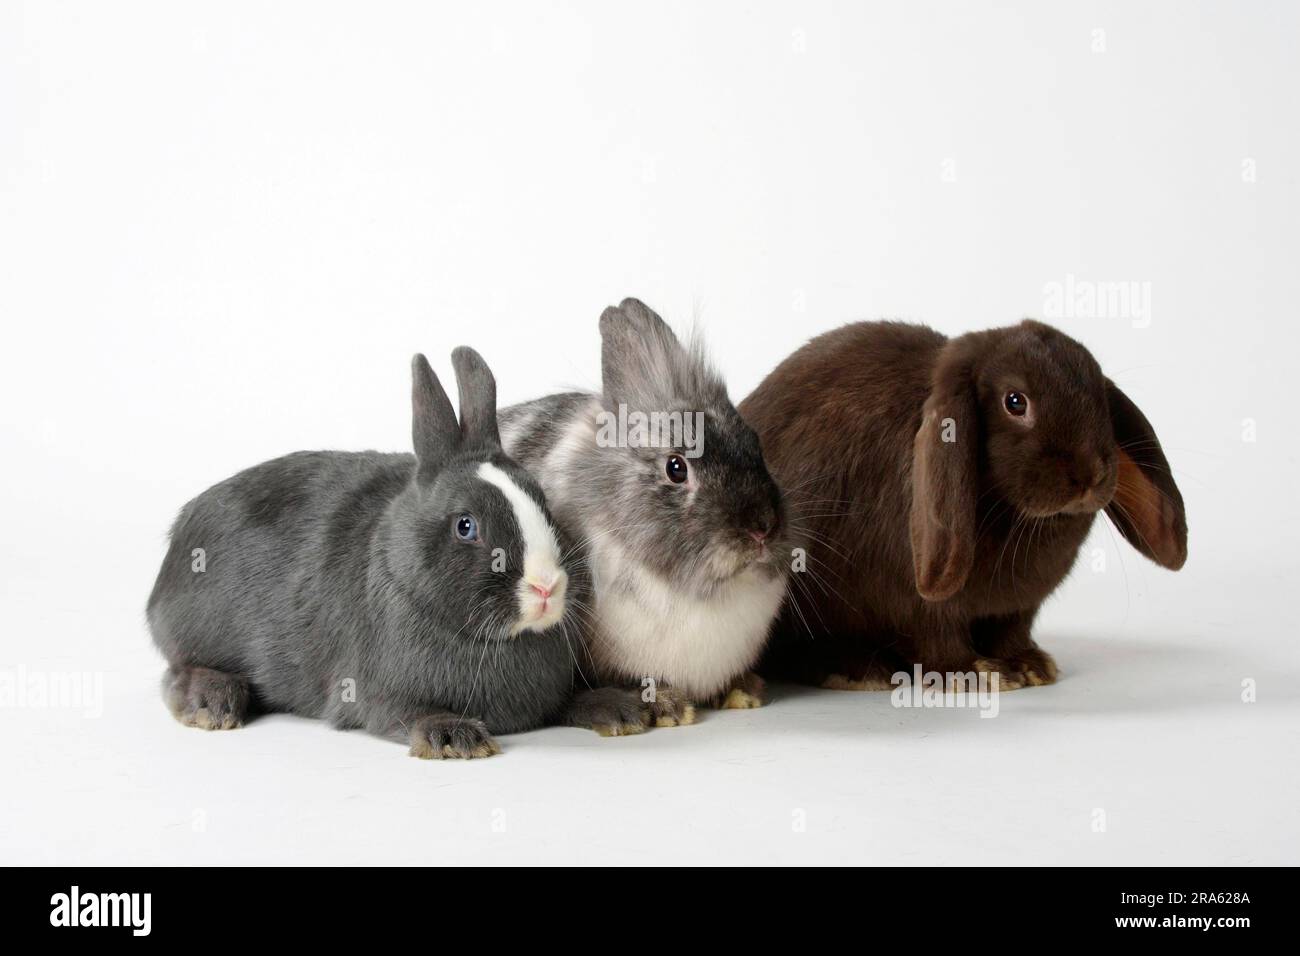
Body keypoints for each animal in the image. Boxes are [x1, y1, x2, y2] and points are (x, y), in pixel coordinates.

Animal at [147, 347, 650, 758]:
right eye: (465, 526)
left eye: (543, 500)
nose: (547, 587)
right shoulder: (374, 694)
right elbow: (404, 713)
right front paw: (453, 738)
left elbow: (574, 699)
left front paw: (623, 710)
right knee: (174, 672)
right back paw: (212, 704)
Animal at [741, 319, 1188, 690]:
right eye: (1015, 401)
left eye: (1100, 399)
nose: (1089, 475)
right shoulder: (919, 605)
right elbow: (937, 640)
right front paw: (976, 674)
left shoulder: (1018, 609)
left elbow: (1012, 632)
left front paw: (1030, 666)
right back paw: (859, 670)